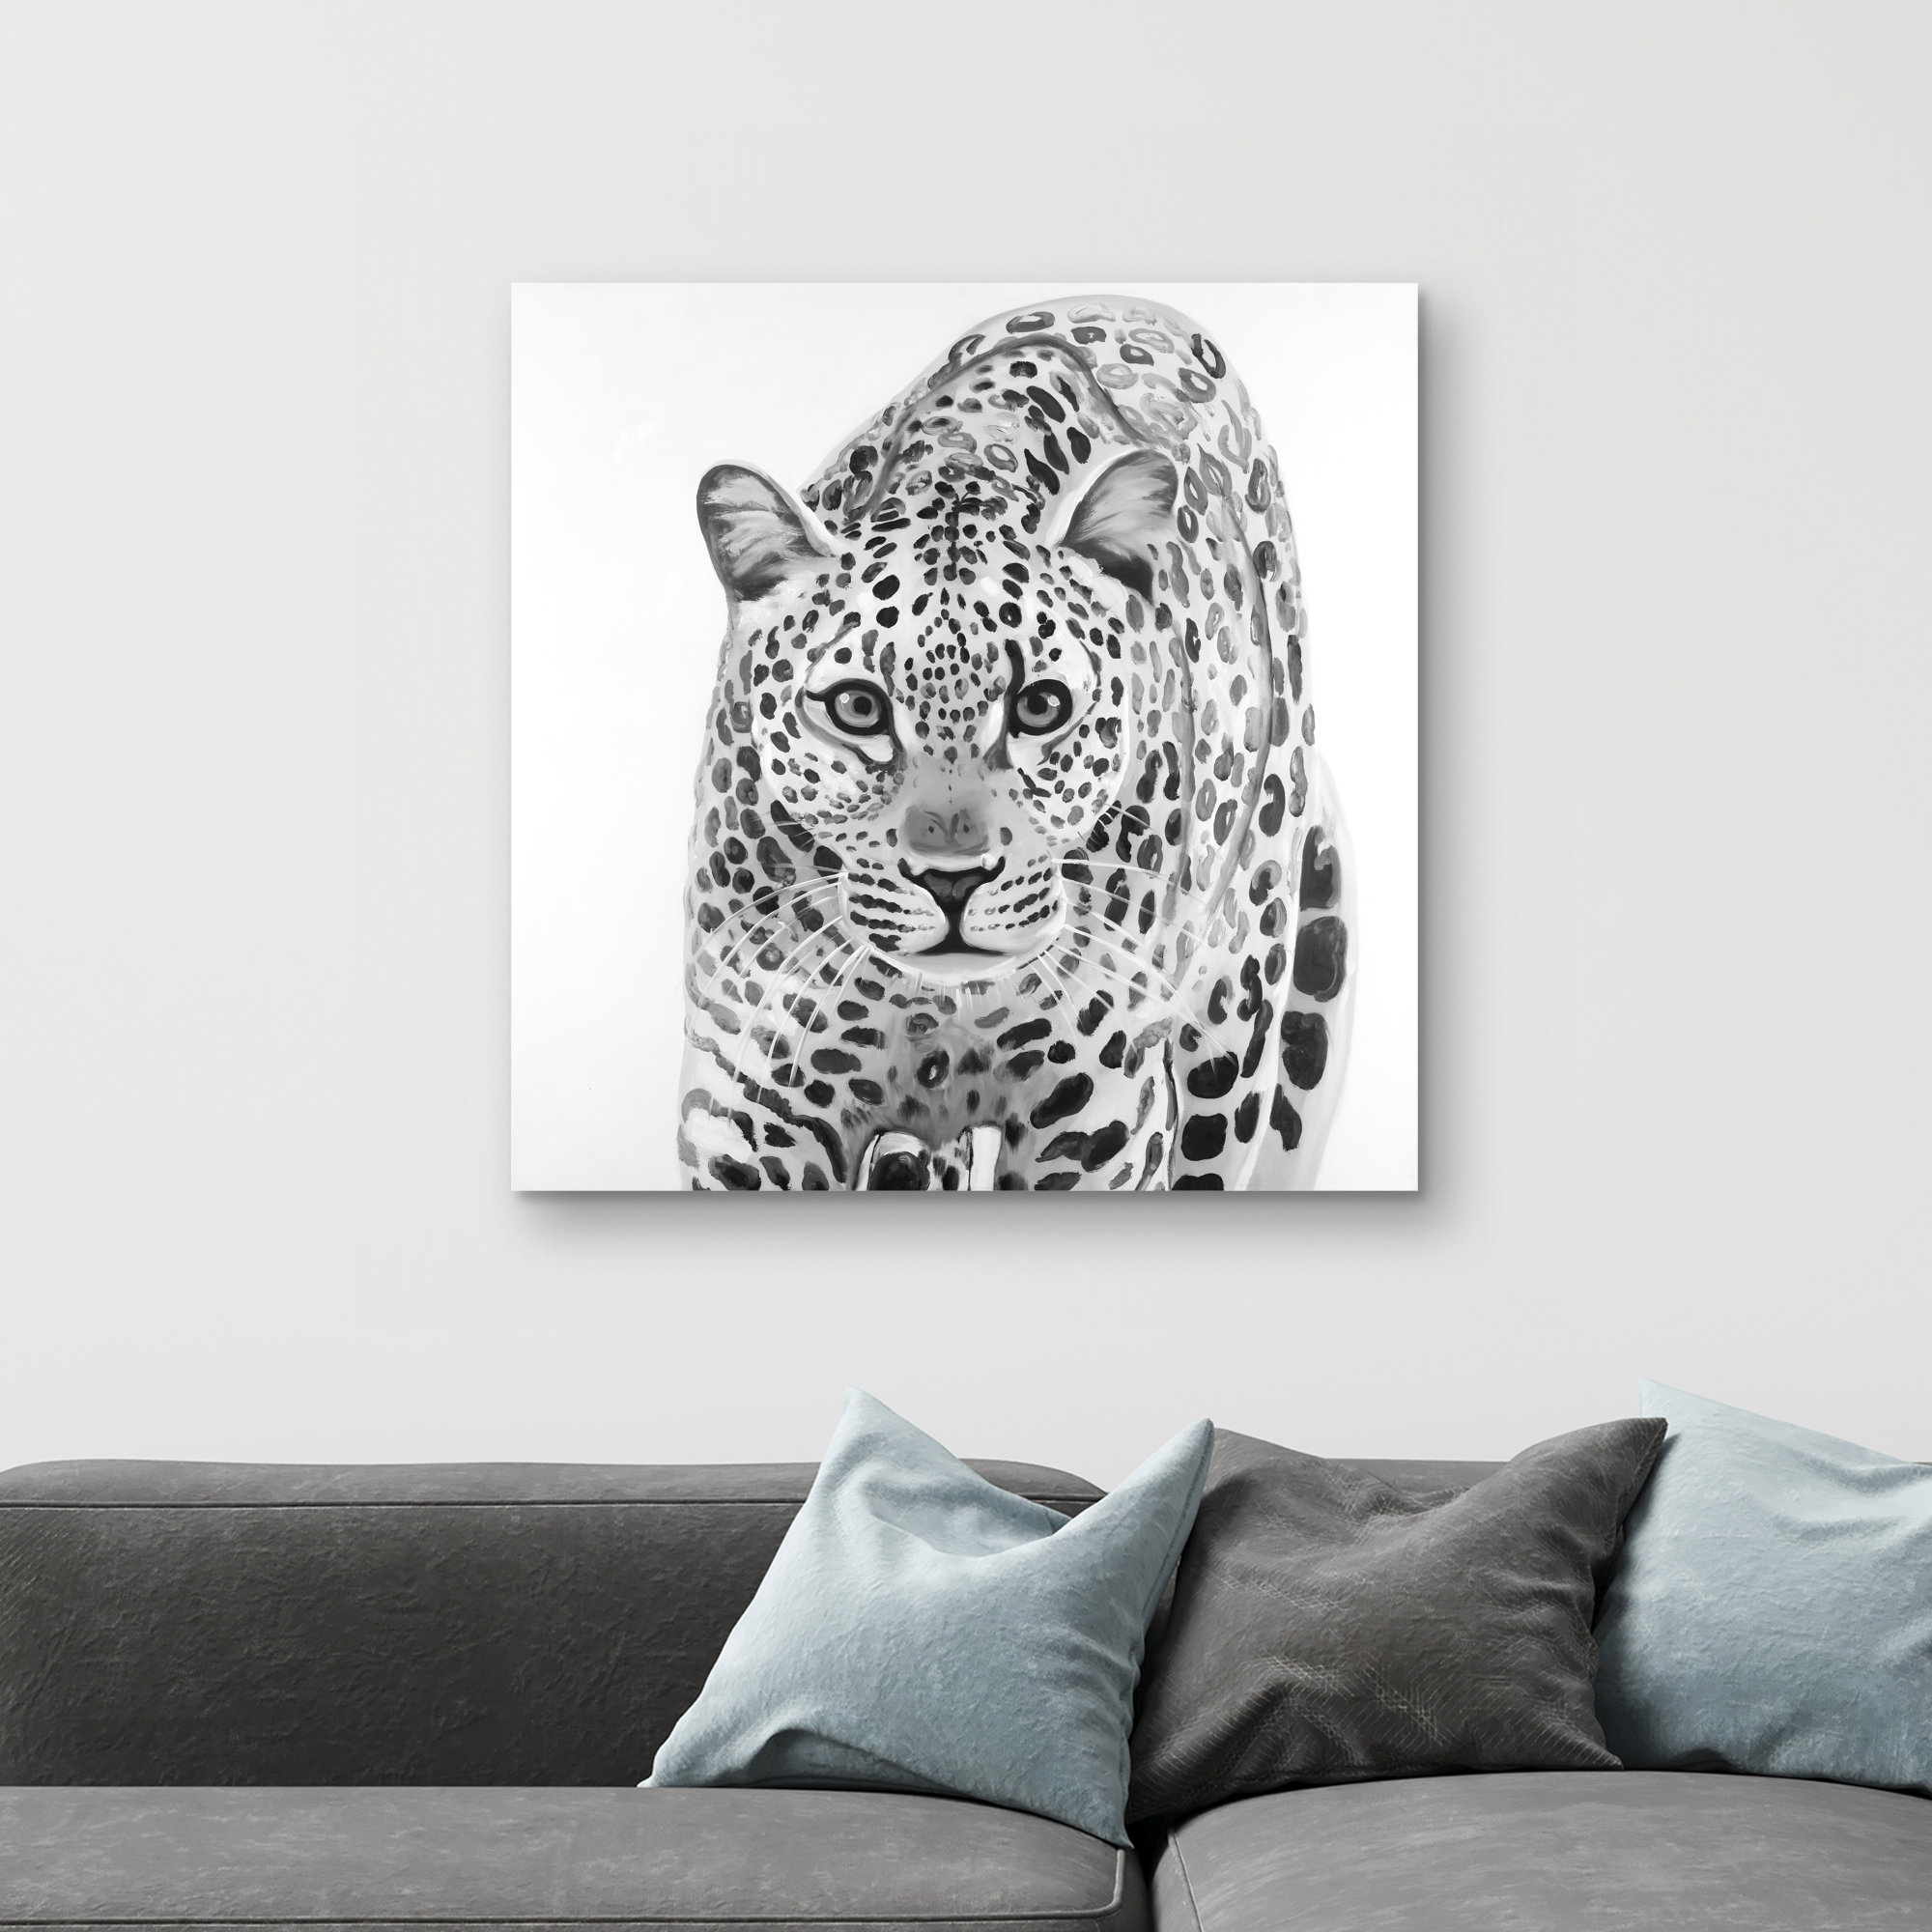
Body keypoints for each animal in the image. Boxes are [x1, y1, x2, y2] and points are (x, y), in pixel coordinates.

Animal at [677, 295, 1355, 1190]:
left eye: (1039, 707)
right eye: (857, 707)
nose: (952, 880)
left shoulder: (1101, 1107)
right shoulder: (748, 1097)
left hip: (1240, 1011)